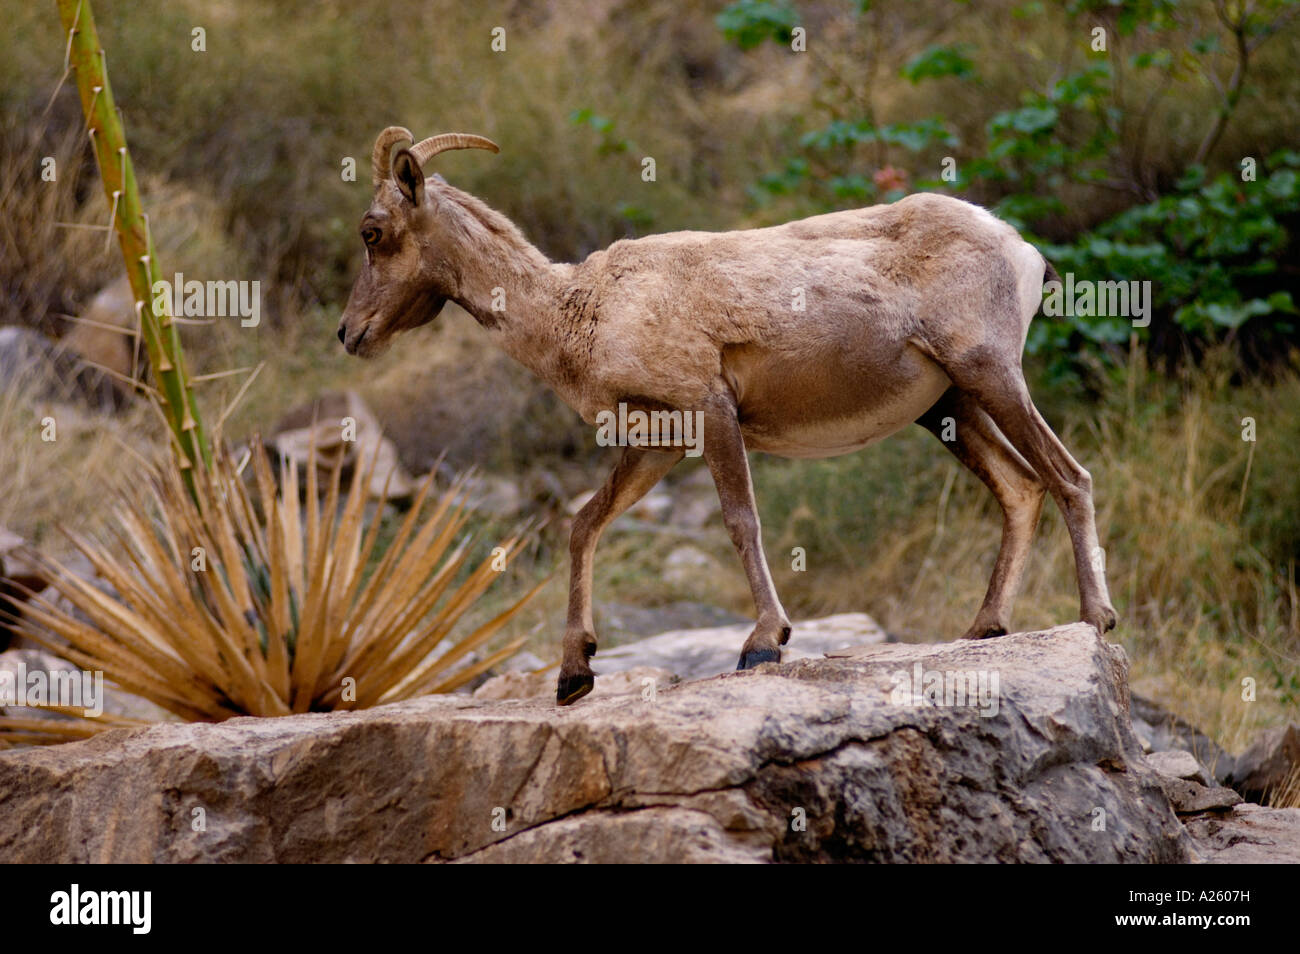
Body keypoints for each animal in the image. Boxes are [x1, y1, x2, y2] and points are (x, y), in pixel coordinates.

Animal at [339, 127, 1118, 706]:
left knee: (1071, 476)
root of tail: (1022, 250)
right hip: (951, 407)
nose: (350, 335)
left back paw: (1095, 618)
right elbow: (583, 524)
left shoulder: (711, 410)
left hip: (990, 374)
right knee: (1021, 487)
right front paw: (573, 674)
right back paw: (985, 628)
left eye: (372, 231)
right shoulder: (654, 444)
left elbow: (741, 521)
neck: (577, 313)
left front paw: (762, 645)